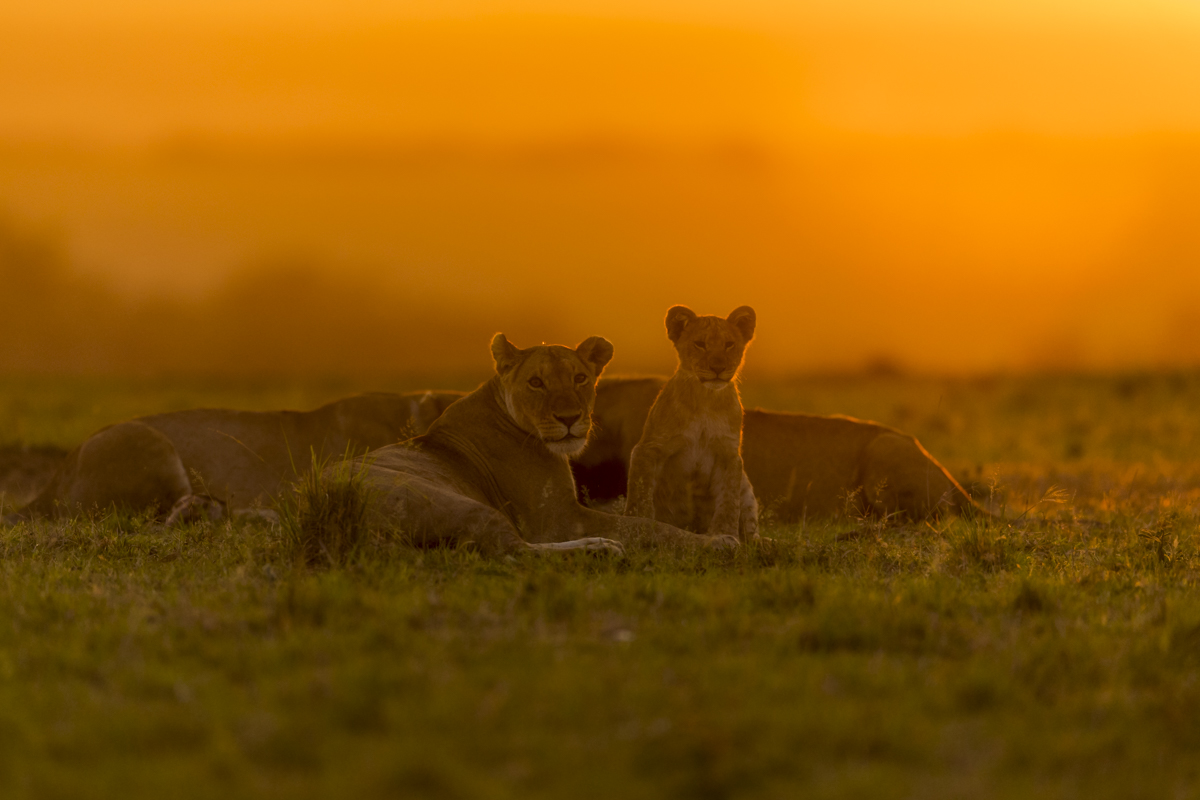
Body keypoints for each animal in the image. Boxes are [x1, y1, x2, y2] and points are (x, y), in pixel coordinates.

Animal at [343, 334, 737, 555]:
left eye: (579, 378)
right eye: (536, 383)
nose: (569, 418)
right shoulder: (559, 518)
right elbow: (646, 526)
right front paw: (718, 541)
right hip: (464, 505)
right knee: (514, 551)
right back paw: (600, 549)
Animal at [625, 305, 759, 542]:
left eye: (729, 344)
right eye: (700, 344)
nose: (717, 367)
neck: (706, 399)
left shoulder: (729, 454)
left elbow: (729, 500)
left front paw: (724, 534)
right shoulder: (648, 449)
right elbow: (641, 493)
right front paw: (641, 526)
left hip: (747, 487)